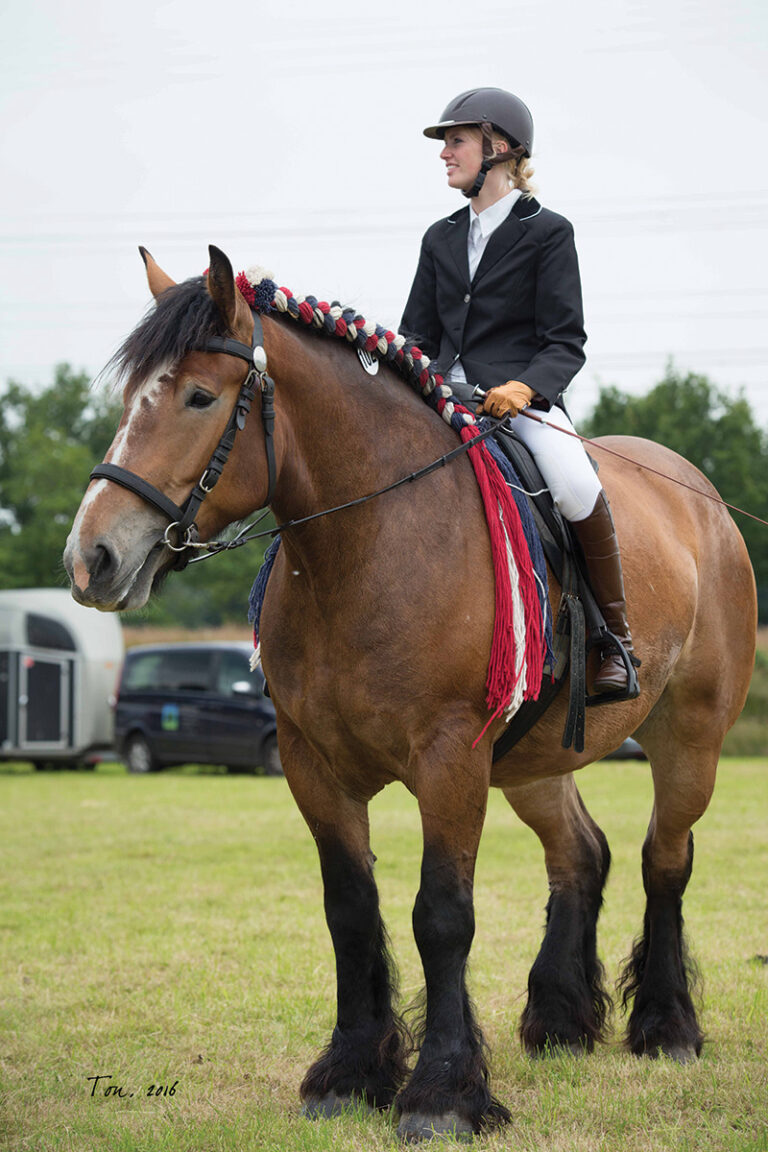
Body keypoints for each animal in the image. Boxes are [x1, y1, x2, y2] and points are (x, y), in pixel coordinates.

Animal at [64, 245, 757, 1142]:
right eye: (127, 400)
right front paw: (349, 1073)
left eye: (199, 397)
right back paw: (560, 1020)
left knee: (663, 859)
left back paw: (667, 1027)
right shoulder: (312, 765)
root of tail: (699, 497)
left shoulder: (449, 762)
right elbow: (351, 910)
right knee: (581, 853)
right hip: (534, 763)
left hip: (689, 738)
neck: (365, 548)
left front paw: (443, 1095)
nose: (92, 559)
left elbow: (443, 915)